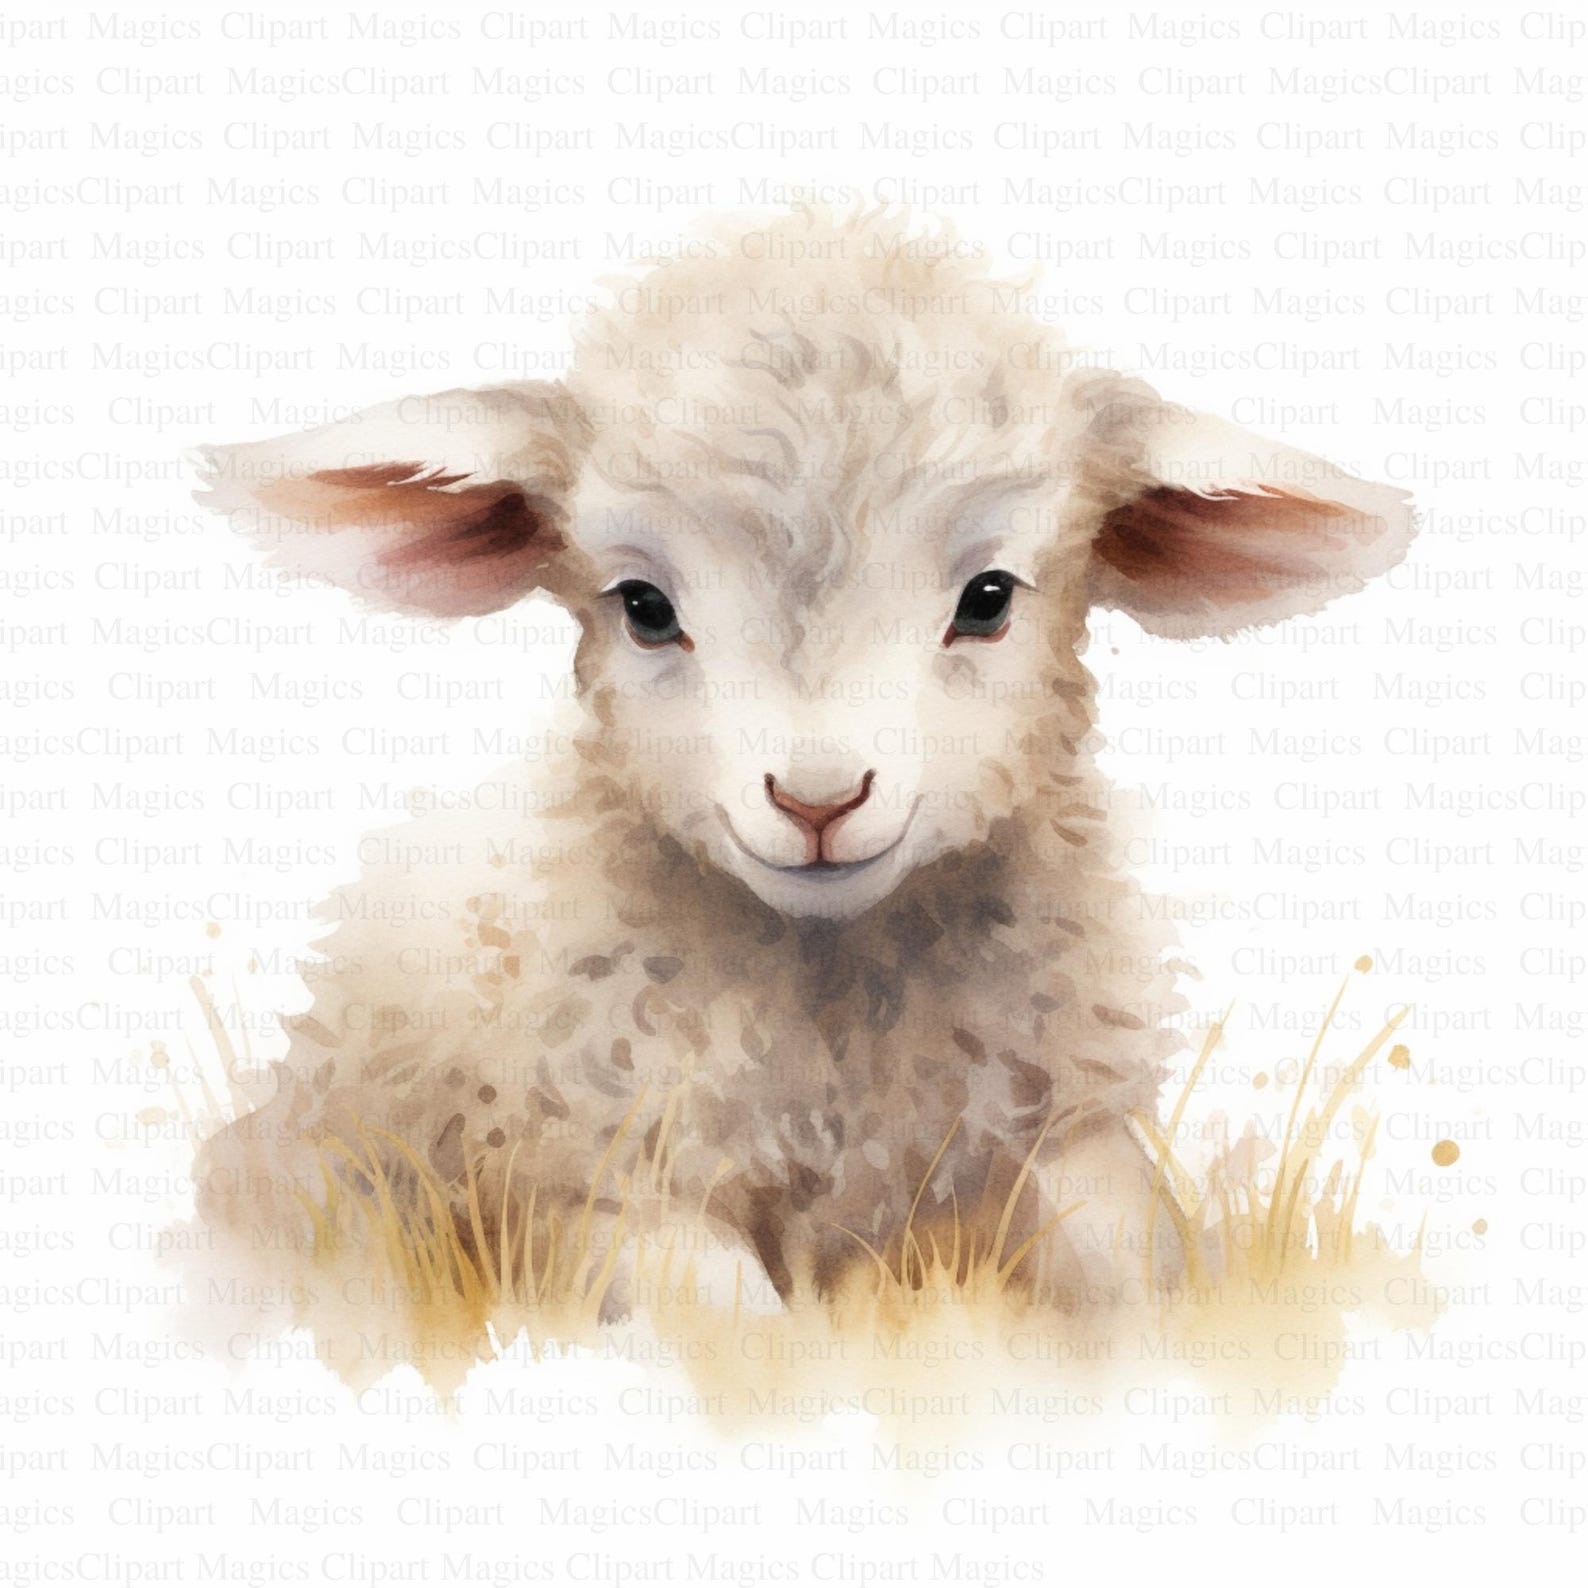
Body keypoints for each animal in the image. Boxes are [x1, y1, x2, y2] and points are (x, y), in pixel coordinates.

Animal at [192, 206, 1414, 1314]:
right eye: (644, 606)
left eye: (988, 598)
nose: (817, 799)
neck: (839, 1033)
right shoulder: (596, 1192)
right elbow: (739, 1331)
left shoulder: (1063, 1134)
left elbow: (1132, 1270)